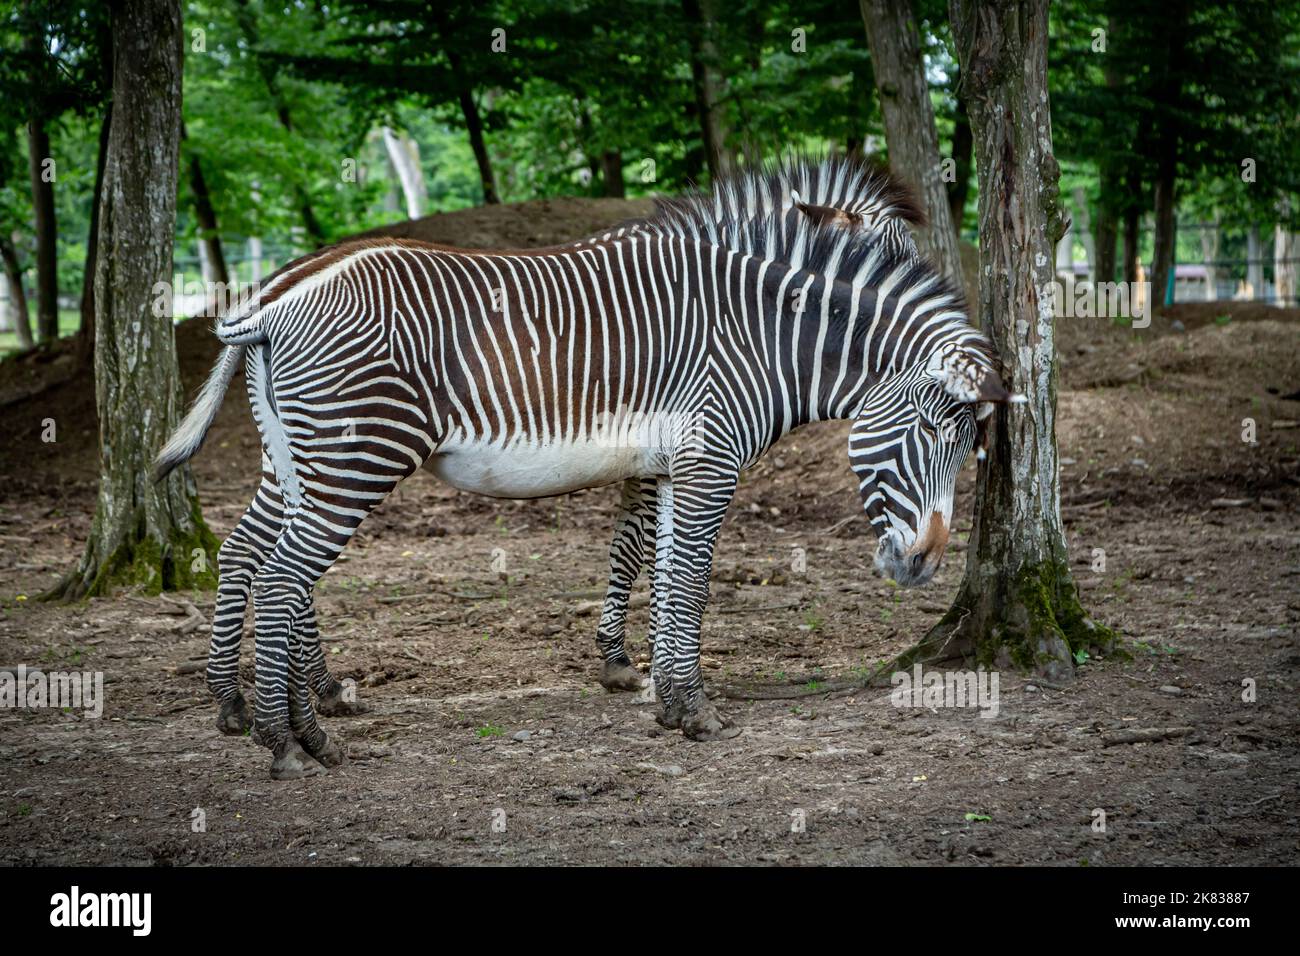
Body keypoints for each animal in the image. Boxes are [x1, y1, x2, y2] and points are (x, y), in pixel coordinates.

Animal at [155, 174, 1013, 780]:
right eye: (931, 432)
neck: (763, 331)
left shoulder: (666, 465)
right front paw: (689, 709)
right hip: (353, 454)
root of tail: (272, 305)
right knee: (281, 576)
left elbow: (660, 572)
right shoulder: (707, 459)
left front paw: (664, 698)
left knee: (251, 557)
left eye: (972, 447)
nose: (925, 563)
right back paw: (289, 740)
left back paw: (262, 710)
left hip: (299, 457)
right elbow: (685, 579)